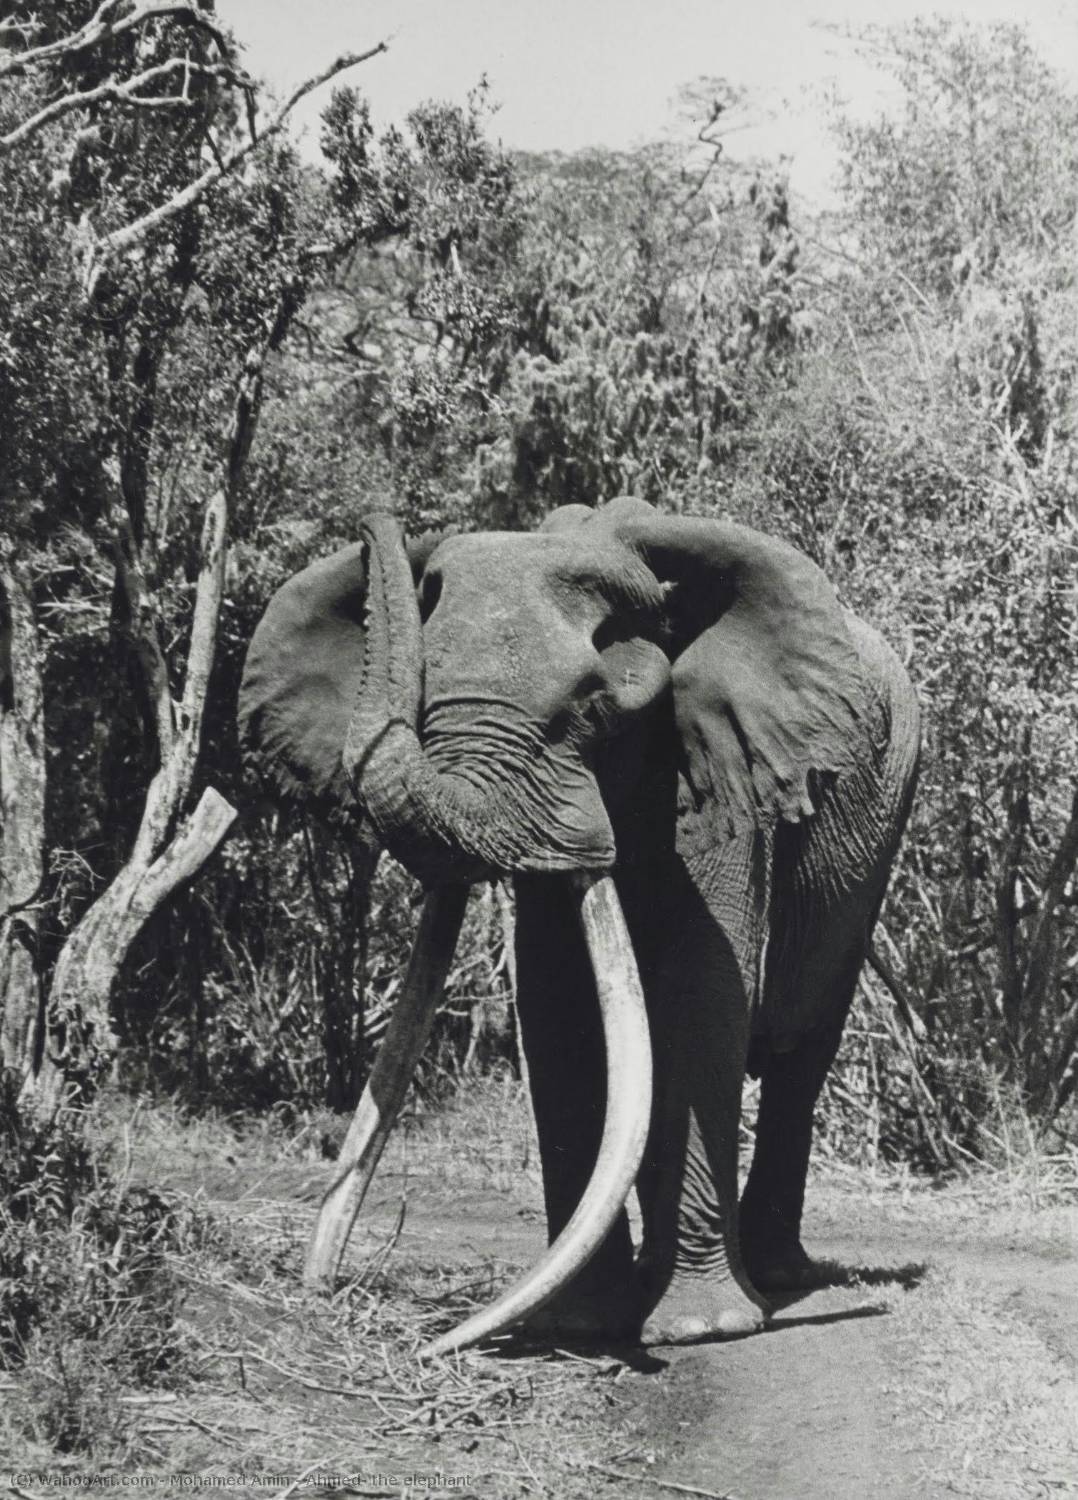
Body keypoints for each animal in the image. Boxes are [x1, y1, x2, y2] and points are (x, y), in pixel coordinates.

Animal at [237, 496, 920, 1356]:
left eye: (598, 708)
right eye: (425, 708)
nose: (377, 517)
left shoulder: (719, 770)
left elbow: (704, 995)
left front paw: (700, 1329)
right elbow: (558, 1004)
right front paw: (579, 1325)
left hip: (881, 825)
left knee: (804, 1046)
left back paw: (774, 1277)